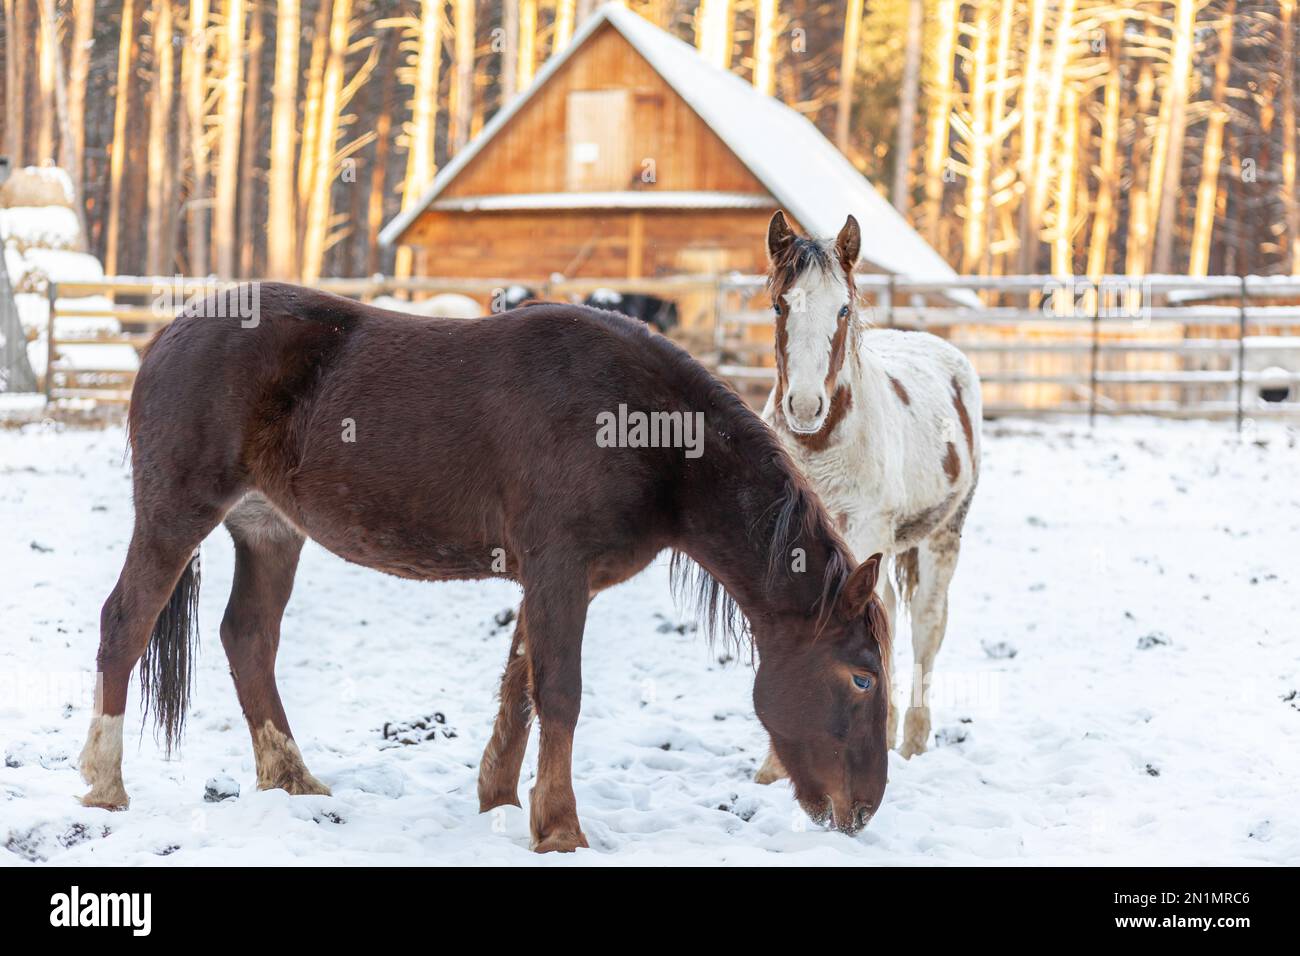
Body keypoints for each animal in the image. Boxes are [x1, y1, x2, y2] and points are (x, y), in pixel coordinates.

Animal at [78, 283, 892, 852]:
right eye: (861, 678)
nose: (862, 811)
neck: (640, 428)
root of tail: (169, 334)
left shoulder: (552, 579)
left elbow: (519, 688)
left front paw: (500, 802)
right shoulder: (559, 570)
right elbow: (558, 692)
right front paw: (559, 828)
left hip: (269, 531)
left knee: (248, 639)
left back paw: (293, 781)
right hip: (176, 513)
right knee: (125, 622)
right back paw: (104, 785)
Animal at [754, 210, 981, 778]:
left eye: (843, 307)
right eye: (779, 305)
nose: (805, 407)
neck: (820, 448)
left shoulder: (864, 532)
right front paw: (774, 765)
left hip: (942, 535)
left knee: (925, 624)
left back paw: (914, 738)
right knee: (892, 618)